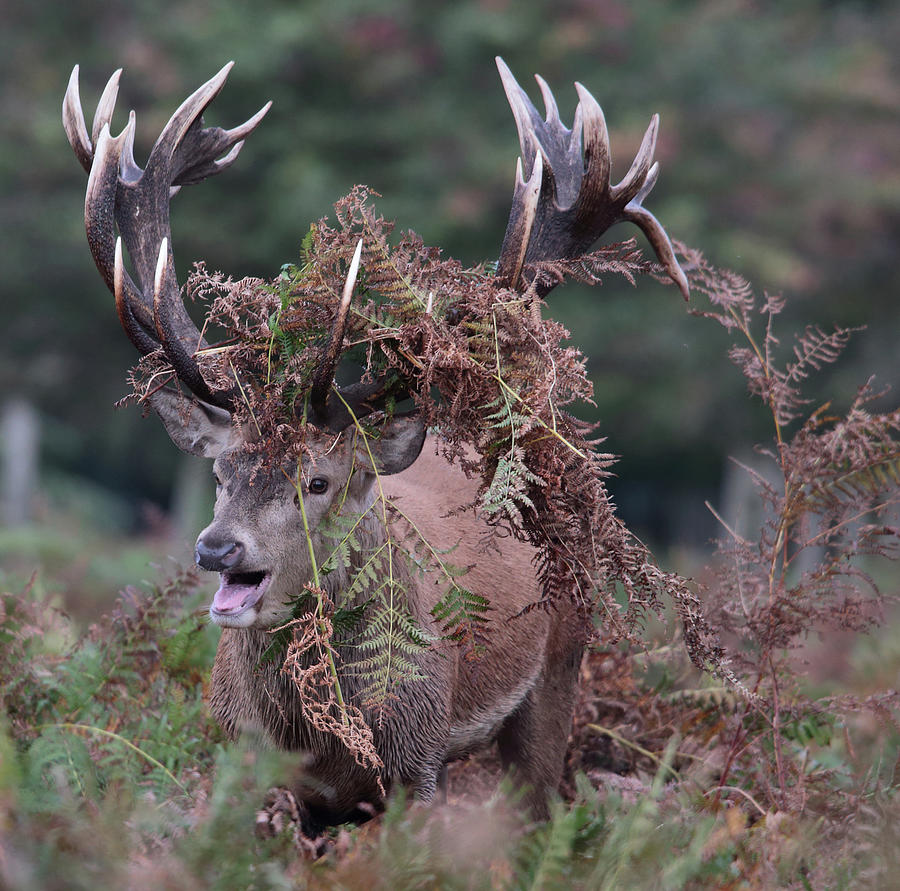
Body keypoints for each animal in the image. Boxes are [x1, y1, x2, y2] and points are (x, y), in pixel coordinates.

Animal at [63, 58, 688, 835]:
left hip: (563, 663)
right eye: (222, 471)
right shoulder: (247, 763)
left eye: (319, 481)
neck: (324, 744)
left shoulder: (419, 763)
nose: (217, 548)